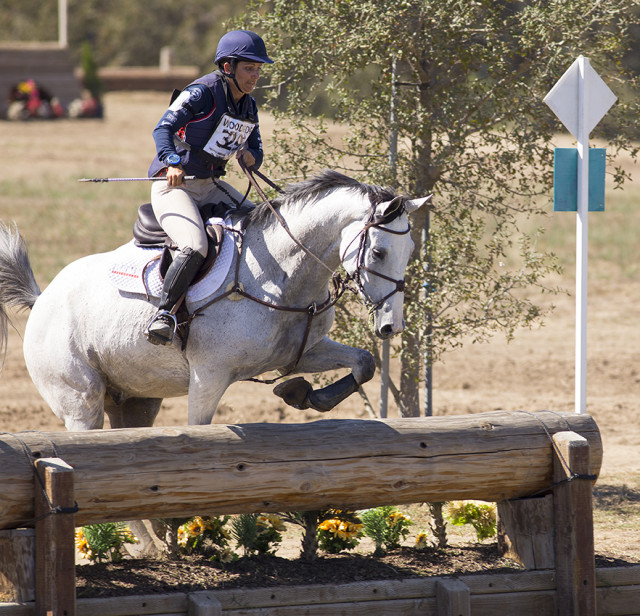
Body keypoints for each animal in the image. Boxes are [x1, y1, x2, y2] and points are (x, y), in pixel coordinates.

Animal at [0, 170, 428, 431]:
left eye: (411, 252)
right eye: (379, 253)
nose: (391, 325)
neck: (285, 277)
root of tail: (42, 299)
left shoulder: (302, 352)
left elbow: (364, 363)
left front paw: (301, 394)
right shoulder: (209, 375)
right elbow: (200, 428)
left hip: (135, 400)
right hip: (80, 400)